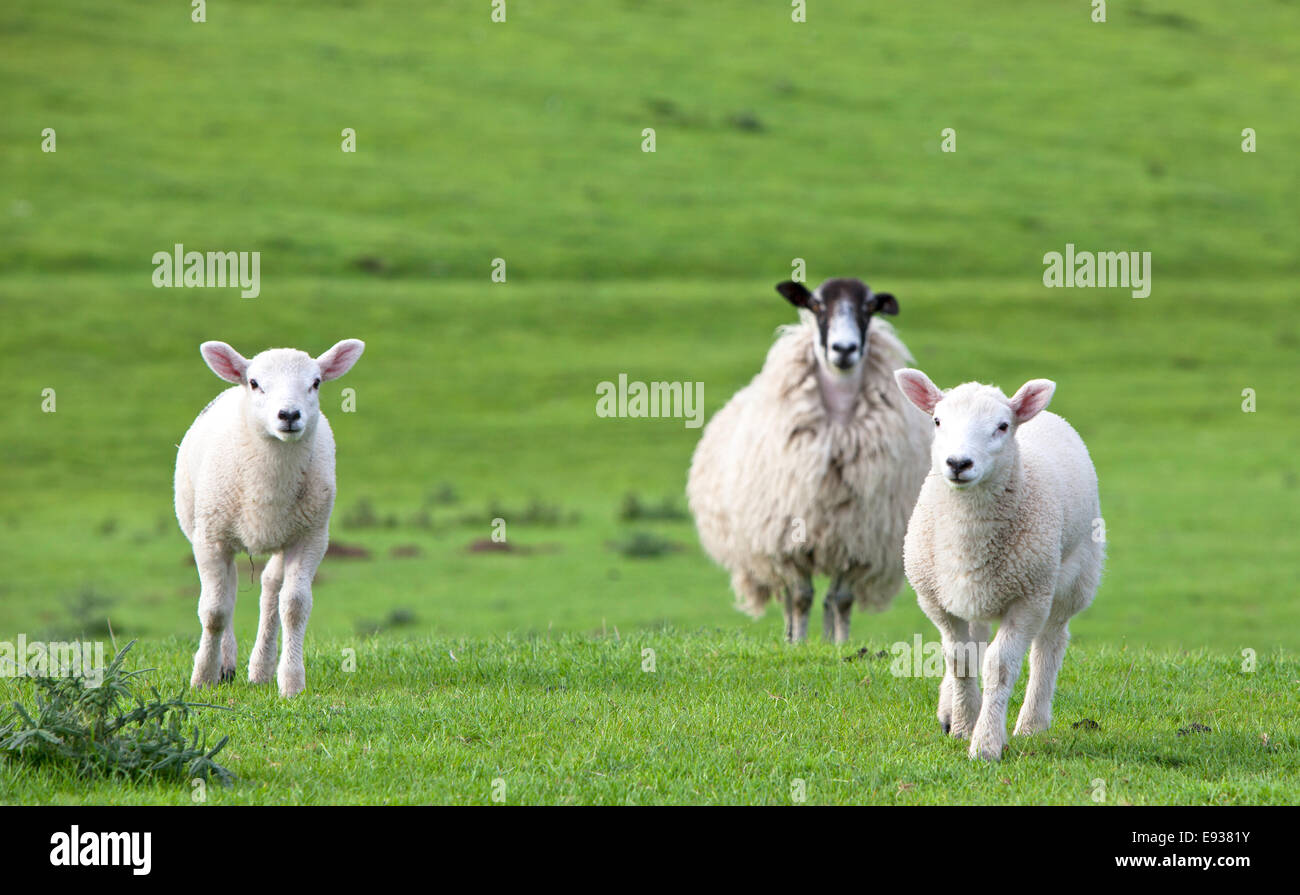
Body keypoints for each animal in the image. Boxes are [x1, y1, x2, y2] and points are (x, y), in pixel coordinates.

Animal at [175, 339, 364, 697]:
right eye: (255, 383)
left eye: (316, 382)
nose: (289, 415)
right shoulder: (209, 537)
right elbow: (214, 610)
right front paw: (203, 678)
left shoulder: (310, 537)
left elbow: (294, 606)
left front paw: (291, 683)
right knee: (230, 589)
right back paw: (226, 664)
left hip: (286, 532)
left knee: (270, 587)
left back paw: (260, 668)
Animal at [687, 277, 932, 643]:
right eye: (816, 306)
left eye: (869, 307)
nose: (844, 349)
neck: (840, 427)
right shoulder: (786, 541)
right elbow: (801, 598)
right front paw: (798, 644)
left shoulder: (859, 539)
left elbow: (841, 600)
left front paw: (839, 645)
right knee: (791, 599)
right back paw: (792, 637)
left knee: (830, 602)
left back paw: (829, 640)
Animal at [894, 368, 1104, 760]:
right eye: (937, 421)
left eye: (1002, 426)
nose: (958, 464)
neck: (968, 535)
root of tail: (1046, 417)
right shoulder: (935, 599)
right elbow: (960, 660)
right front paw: (963, 724)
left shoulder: (1028, 598)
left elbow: (1000, 666)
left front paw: (986, 742)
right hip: (973, 591)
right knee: (975, 640)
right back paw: (951, 709)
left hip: (1072, 578)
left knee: (1049, 645)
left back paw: (1032, 724)